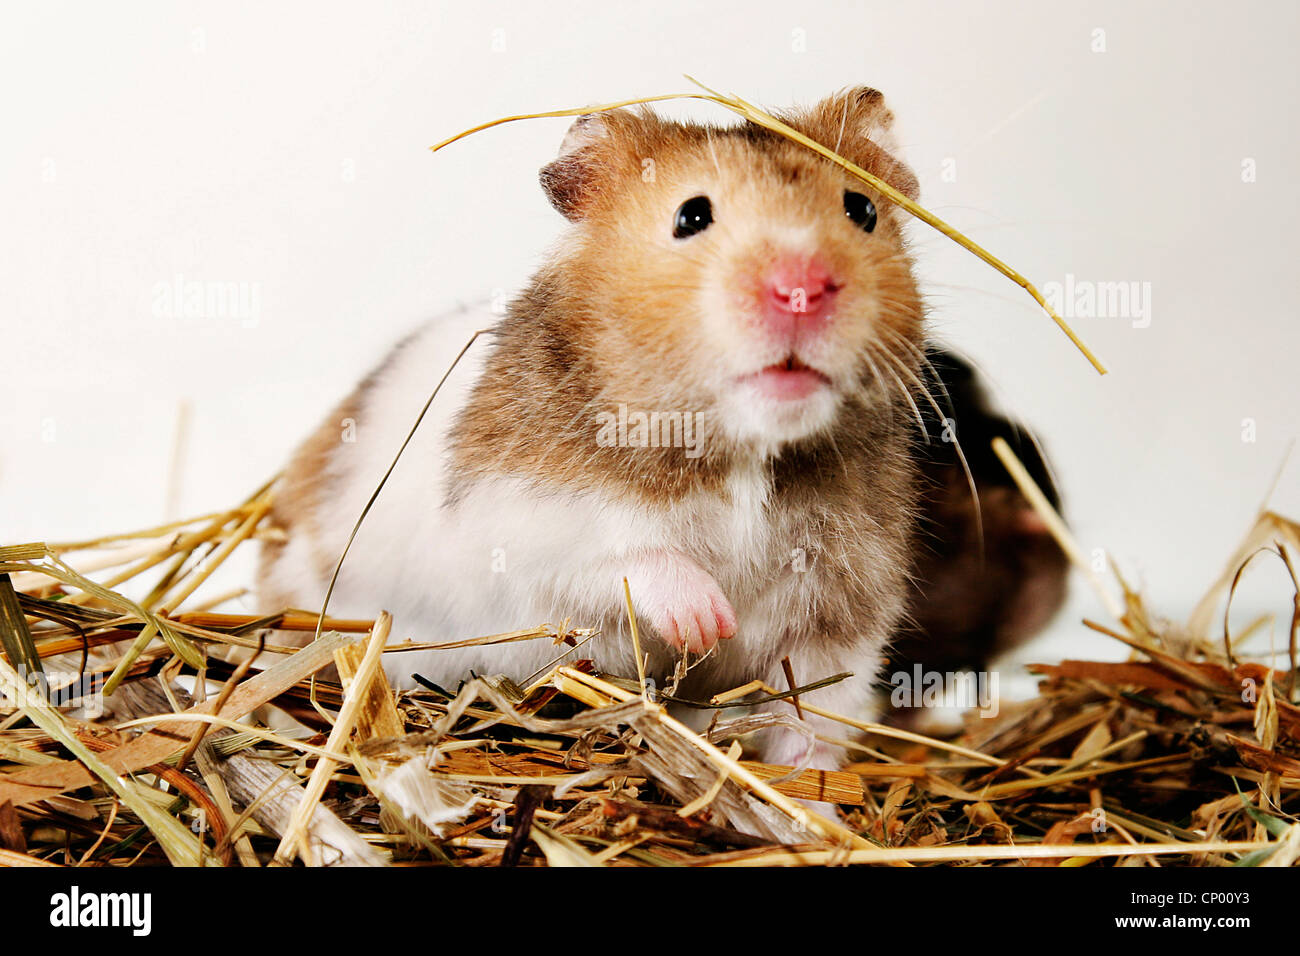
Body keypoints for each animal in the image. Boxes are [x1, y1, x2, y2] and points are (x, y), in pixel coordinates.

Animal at [258, 88, 927, 774]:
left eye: (861, 209)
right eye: (691, 216)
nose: (803, 289)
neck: (744, 453)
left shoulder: (841, 616)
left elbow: (815, 713)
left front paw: (810, 788)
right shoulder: (522, 524)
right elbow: (631, 556)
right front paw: (710, 623)